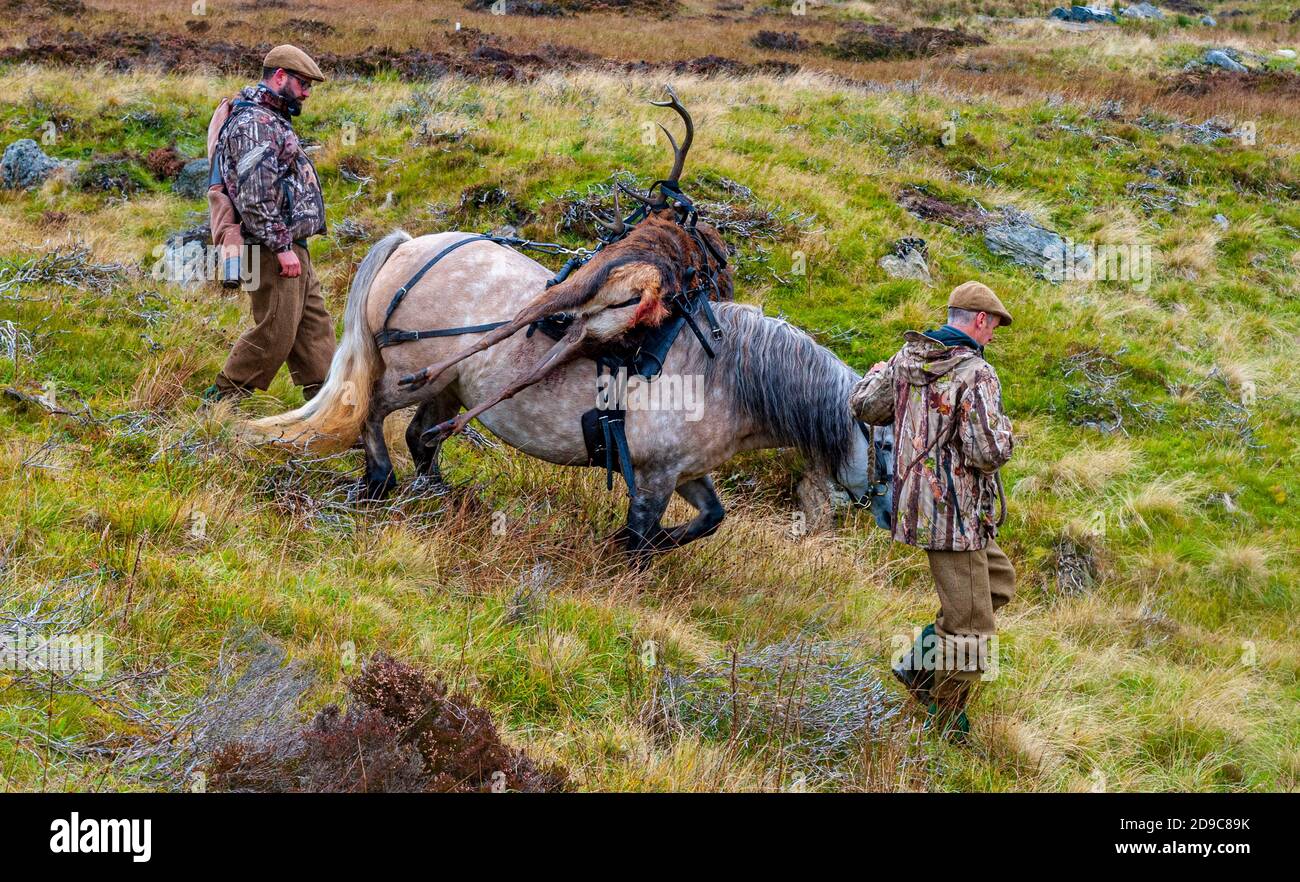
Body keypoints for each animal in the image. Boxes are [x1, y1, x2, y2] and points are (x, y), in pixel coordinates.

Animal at [245, 230, 874, 560]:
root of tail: (411, 246)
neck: (718, 372)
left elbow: (710, 518)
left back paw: (444, 497)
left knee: (423, 438)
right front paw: (628, 557)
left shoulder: (683, 470)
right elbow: (640, 531)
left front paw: (667, 542)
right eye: (878, 431)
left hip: (452, 389)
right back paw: (379, 481)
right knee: (373, 417)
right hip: (411, 373)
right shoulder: (655, 475)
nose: (872, 502)